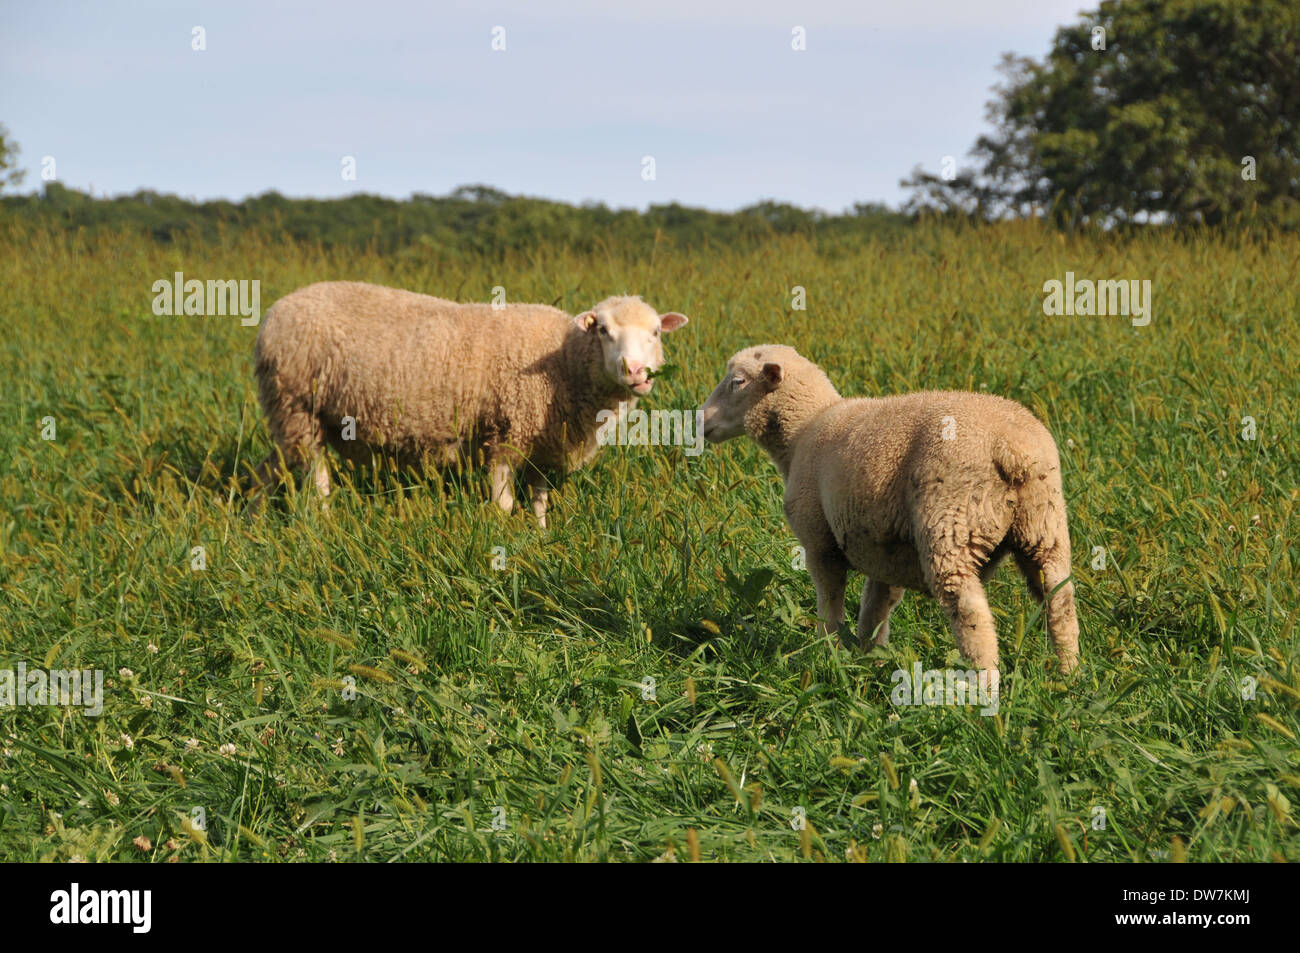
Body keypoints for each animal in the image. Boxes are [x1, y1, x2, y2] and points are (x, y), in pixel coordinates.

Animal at [251, 281, 689, 526]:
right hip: (299, 408)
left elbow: (540, 502)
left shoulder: (545, 443)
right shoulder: (506, 432)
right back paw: (324, 523)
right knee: (318, 478)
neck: (563, 362)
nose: (636, 371)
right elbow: (504, 504)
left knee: (270, 468)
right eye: (603, 331)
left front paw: (543, 537)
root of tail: (273, 313)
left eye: (655, 332)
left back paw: (254, 517)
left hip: (295, 416)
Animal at [699, 345, 1080, 686]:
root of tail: (1011, 447)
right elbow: (876, 608)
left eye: (737, 382)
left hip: (950, 522)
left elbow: (831, 601)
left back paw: (984, 687)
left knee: (970, 610)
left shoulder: (820, 542)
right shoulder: (884, 548)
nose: (700, 419)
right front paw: (870, 659)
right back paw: (1068, 675)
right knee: (1060, 600)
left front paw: (827, 652)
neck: (802, 432)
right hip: (1044, 525)